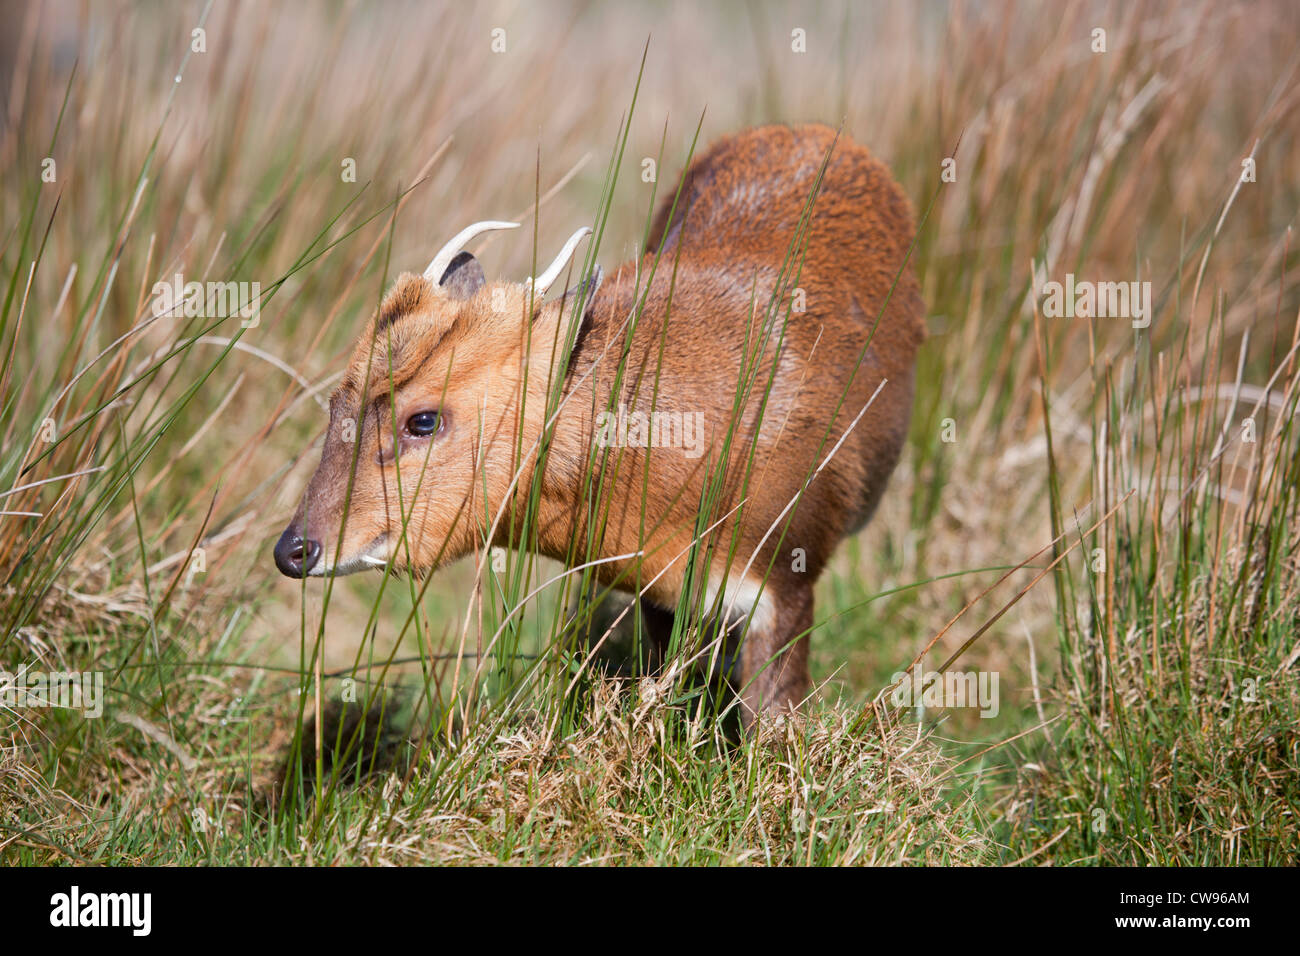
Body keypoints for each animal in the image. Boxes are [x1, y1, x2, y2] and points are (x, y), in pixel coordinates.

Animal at [273, 123, 925, 732]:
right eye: (334, 403)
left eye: (423, 419)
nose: (294, 549)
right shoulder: (660, 590)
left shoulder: (790, 564)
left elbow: (772, 721)